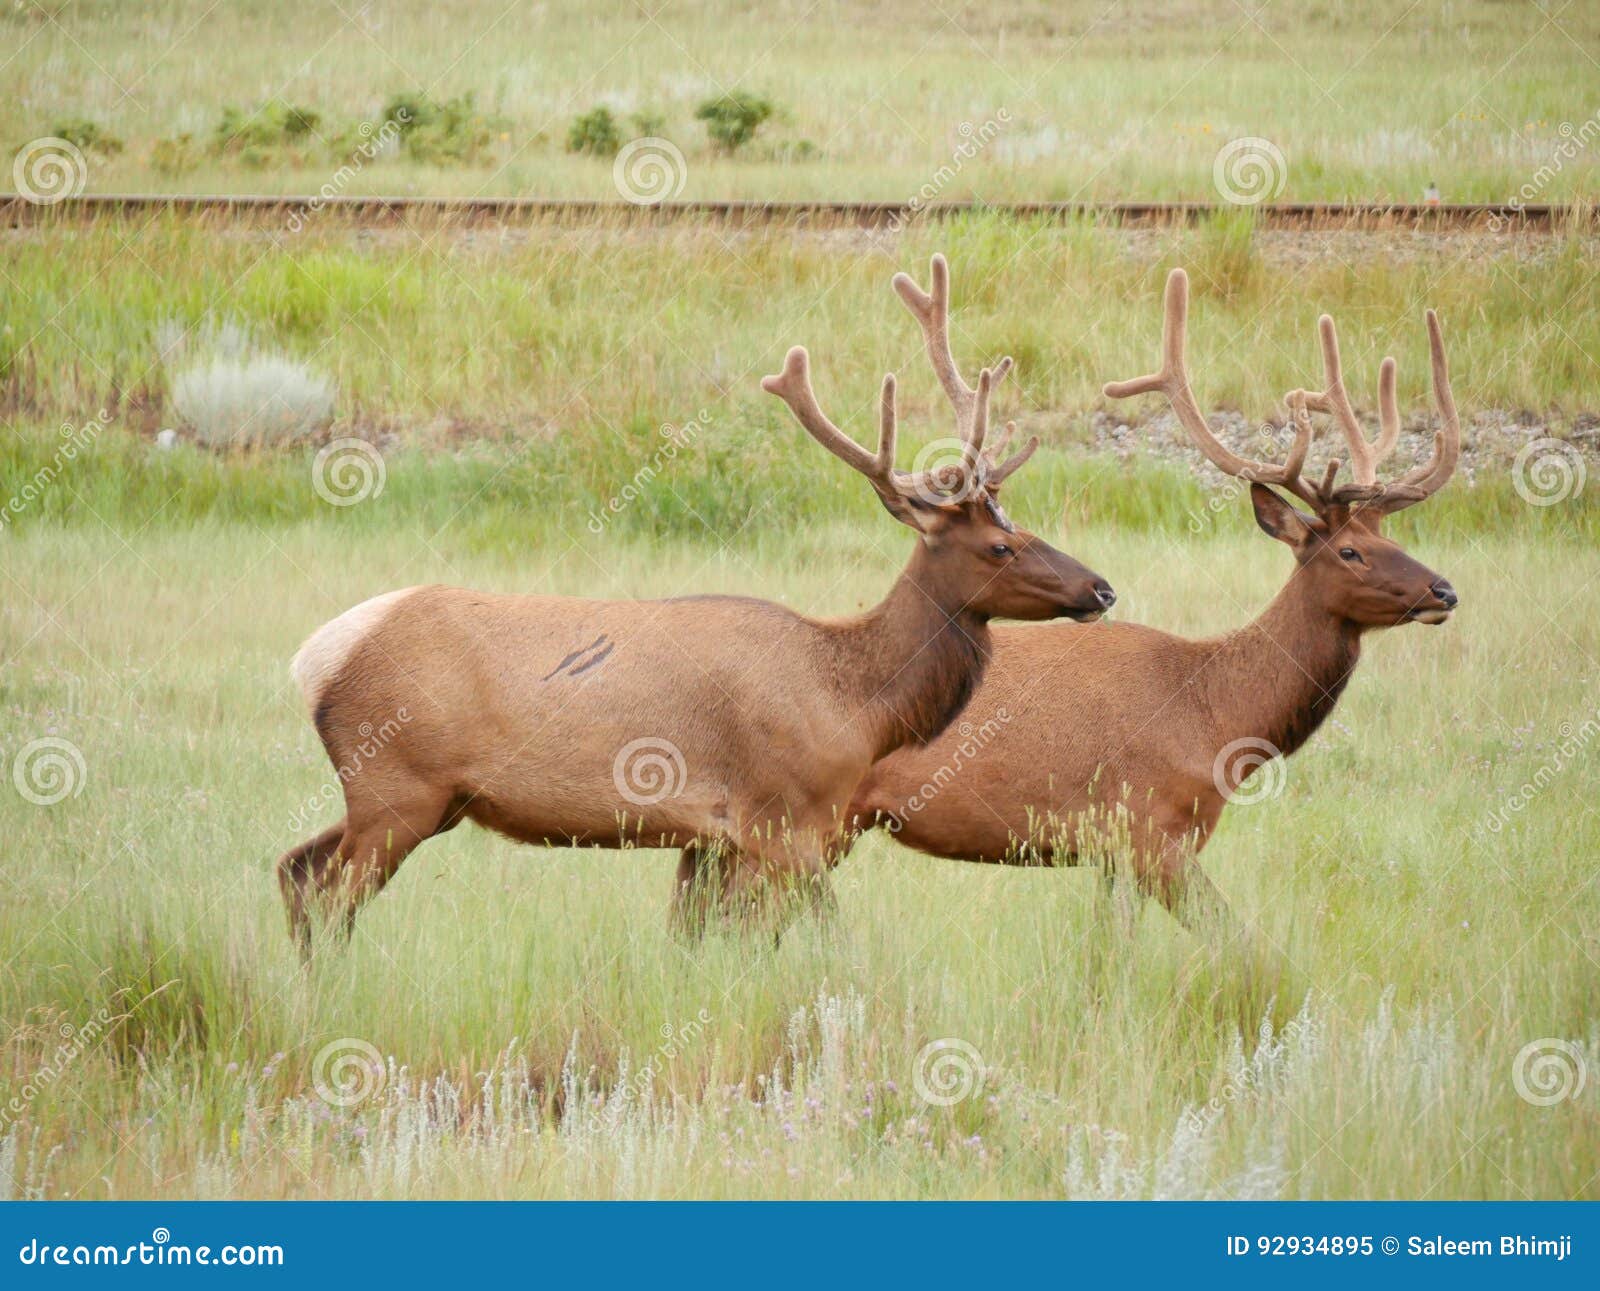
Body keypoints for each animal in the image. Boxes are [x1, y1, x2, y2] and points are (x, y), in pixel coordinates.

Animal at [275, 254, 1116, 954]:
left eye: (1024, 525)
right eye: (1000, 545)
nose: (1101, 587)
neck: (855, 702)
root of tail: (312, 658)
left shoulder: (711, 839)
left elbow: (698, 942)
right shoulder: (786, 817)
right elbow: (814, 935)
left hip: (421, 796)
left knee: (294, 869)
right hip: (396, 784)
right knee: (330, 894)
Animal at [844, 268, 1460, 940]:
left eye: (1393, 539)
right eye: (1350, 552)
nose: (1444, 590)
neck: (1217, 719)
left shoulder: (1116, 849)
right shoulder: (1148, 826)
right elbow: (1234, 940)